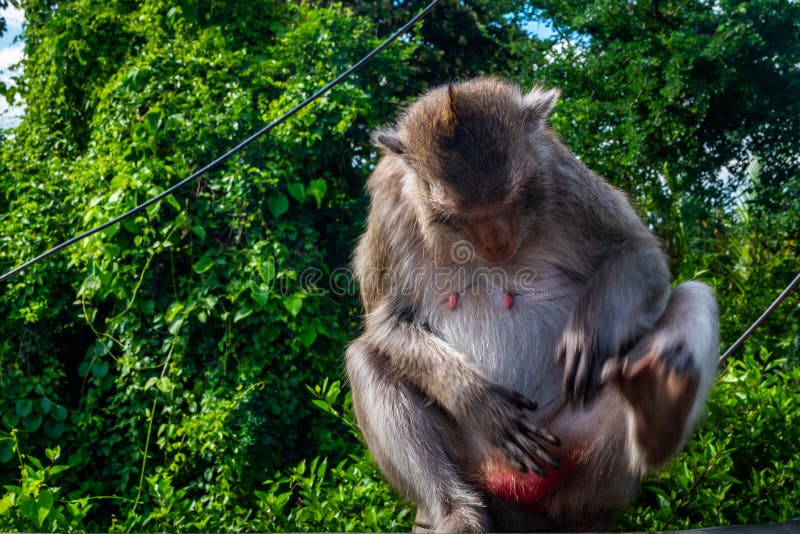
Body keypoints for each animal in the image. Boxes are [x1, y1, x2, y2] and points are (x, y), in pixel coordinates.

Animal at [345, 77, 719, 532]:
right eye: (461, 216)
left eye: (511, 199)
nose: (496, 244)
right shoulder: (389, 205)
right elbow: (386, 322)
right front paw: (477, 400)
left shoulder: (558, 173)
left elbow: (635, 251)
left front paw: (588, 336)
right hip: (478, 461)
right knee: (366, 357)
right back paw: (456, 510)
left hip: (582, 459)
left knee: (694, 294)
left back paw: (657, 414)